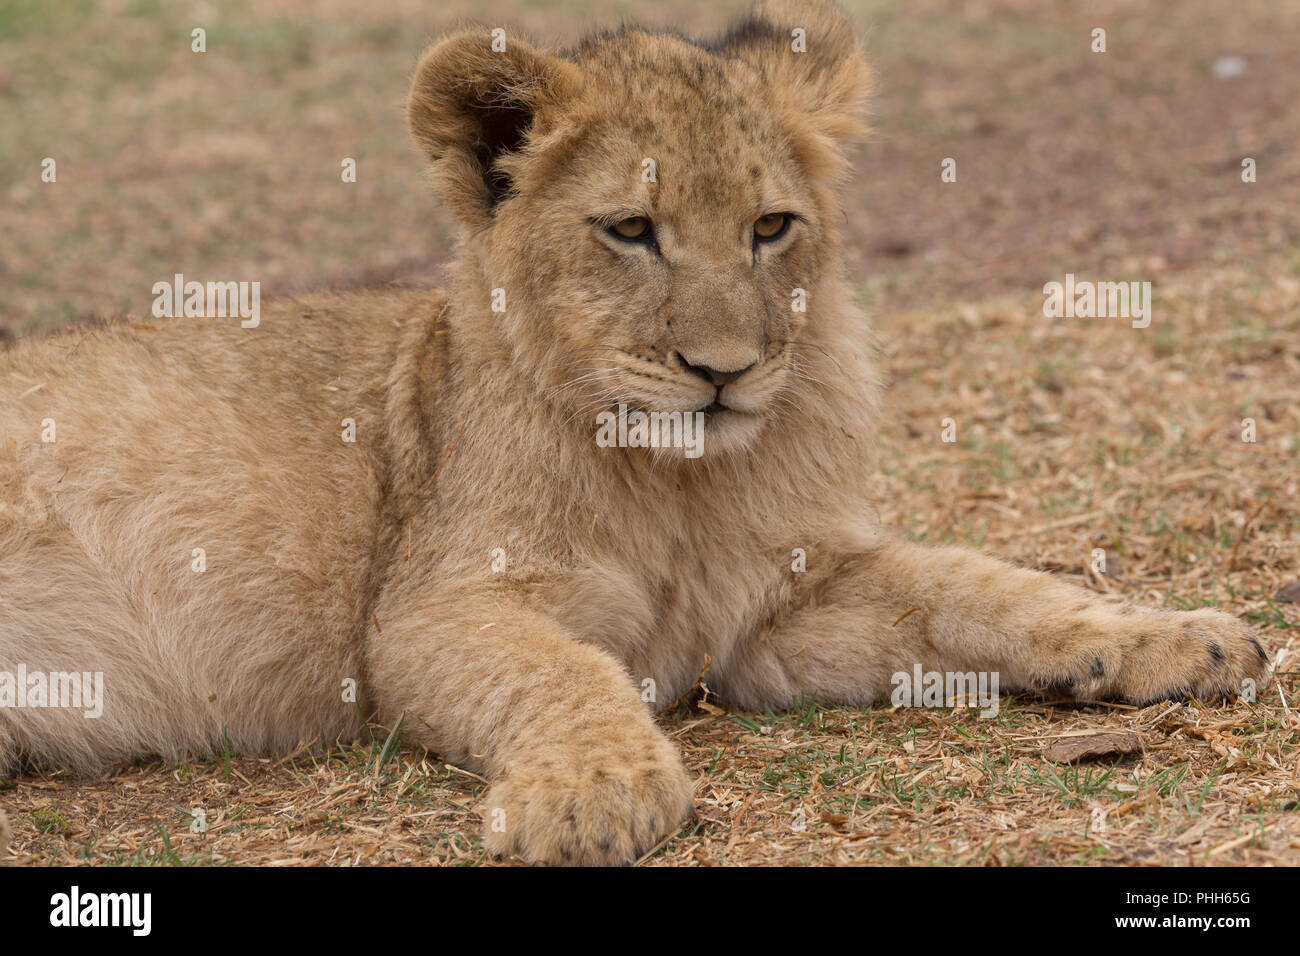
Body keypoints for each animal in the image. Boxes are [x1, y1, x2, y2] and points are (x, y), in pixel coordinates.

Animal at [0, 0, 1270, 865]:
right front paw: (593, 793)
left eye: (770, 226)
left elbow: (980, 584)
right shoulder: (421, 611)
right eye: (630, 230)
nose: (724, 371)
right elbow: (562, 668)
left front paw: (1177, 638)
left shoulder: (776, 617)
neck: (678, 483)